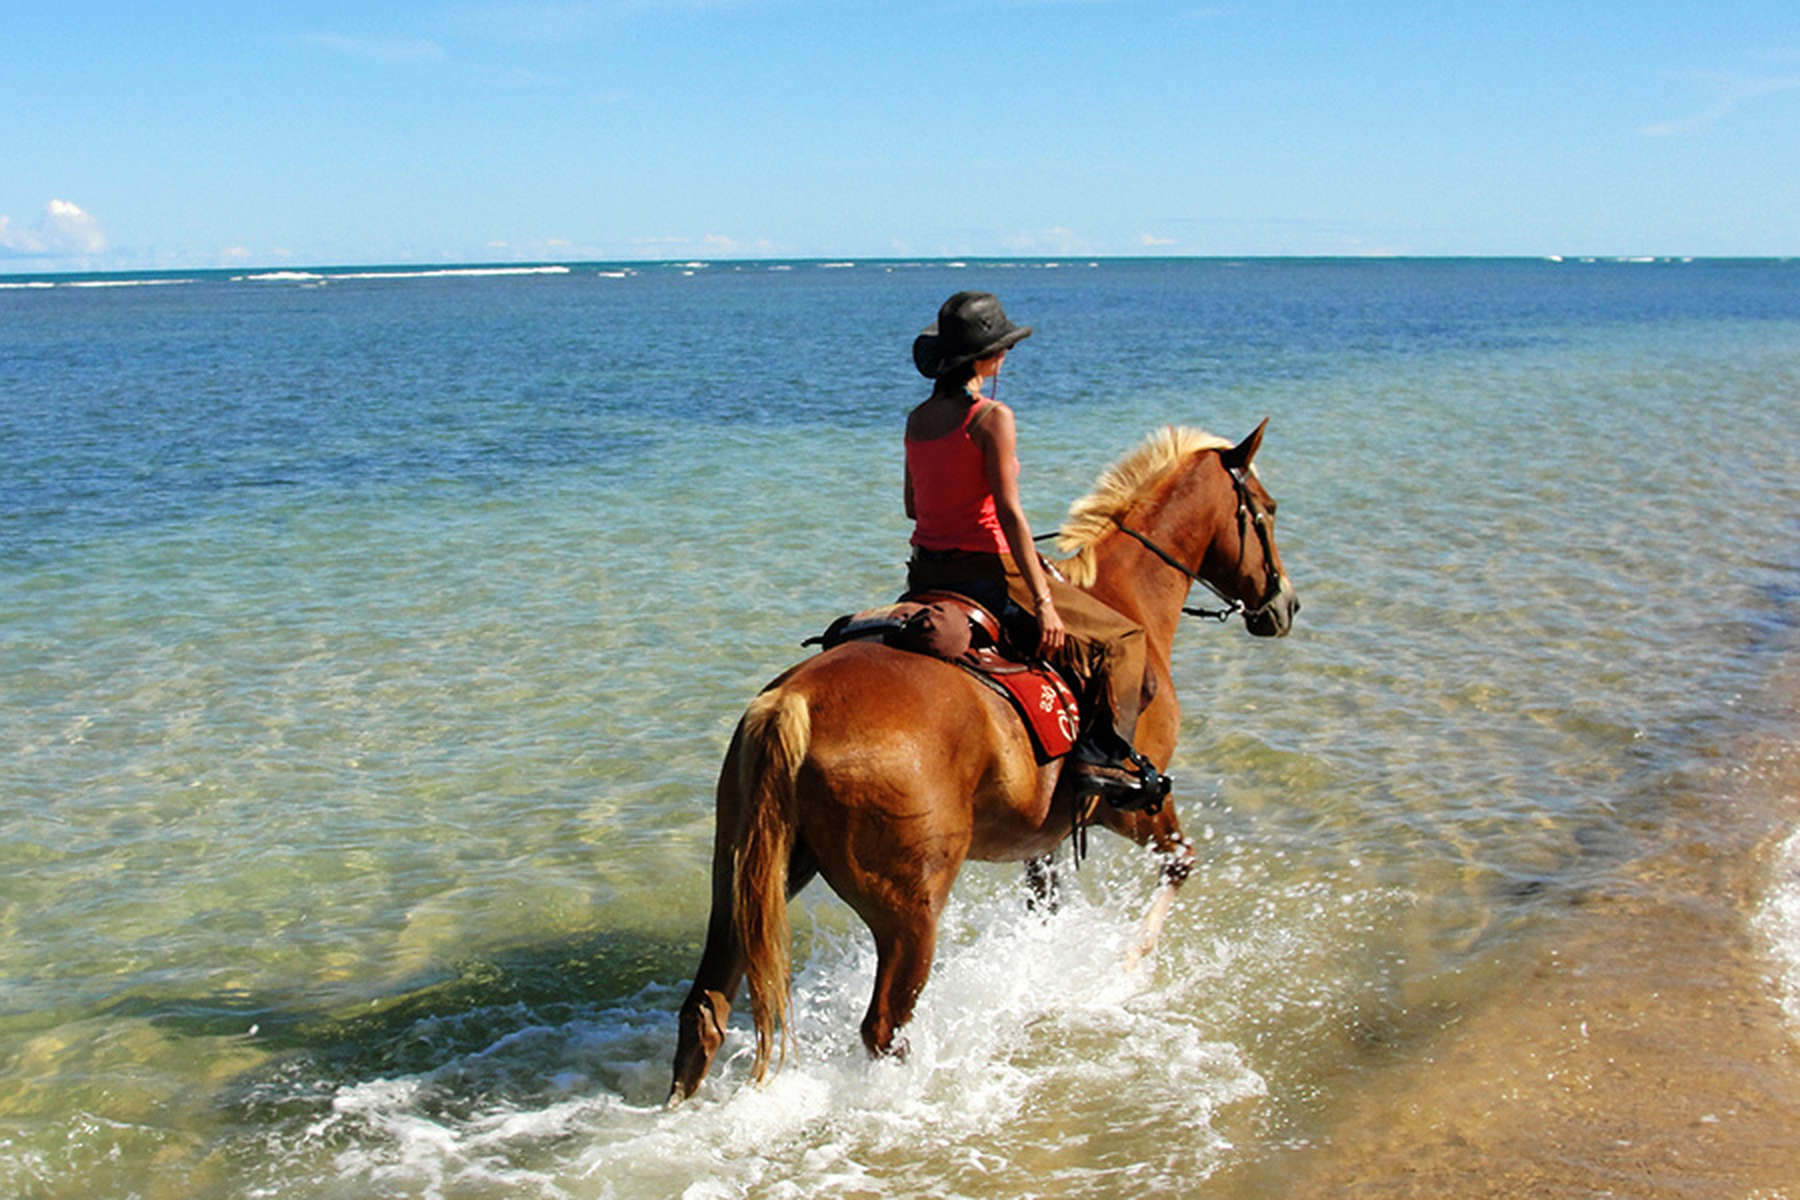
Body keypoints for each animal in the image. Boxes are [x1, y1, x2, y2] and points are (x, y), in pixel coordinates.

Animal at [667, 420, 1298, 1104]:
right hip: (910, 912)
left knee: (704, 1012)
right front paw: (1130, 963)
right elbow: (1179, 863)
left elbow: (1047, 909)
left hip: (745, 881)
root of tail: (794, 702)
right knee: (883, 1027)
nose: (1284, 604)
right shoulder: (1131, 803)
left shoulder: (1044, 838)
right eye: (1266, 510)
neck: (1124, 597)